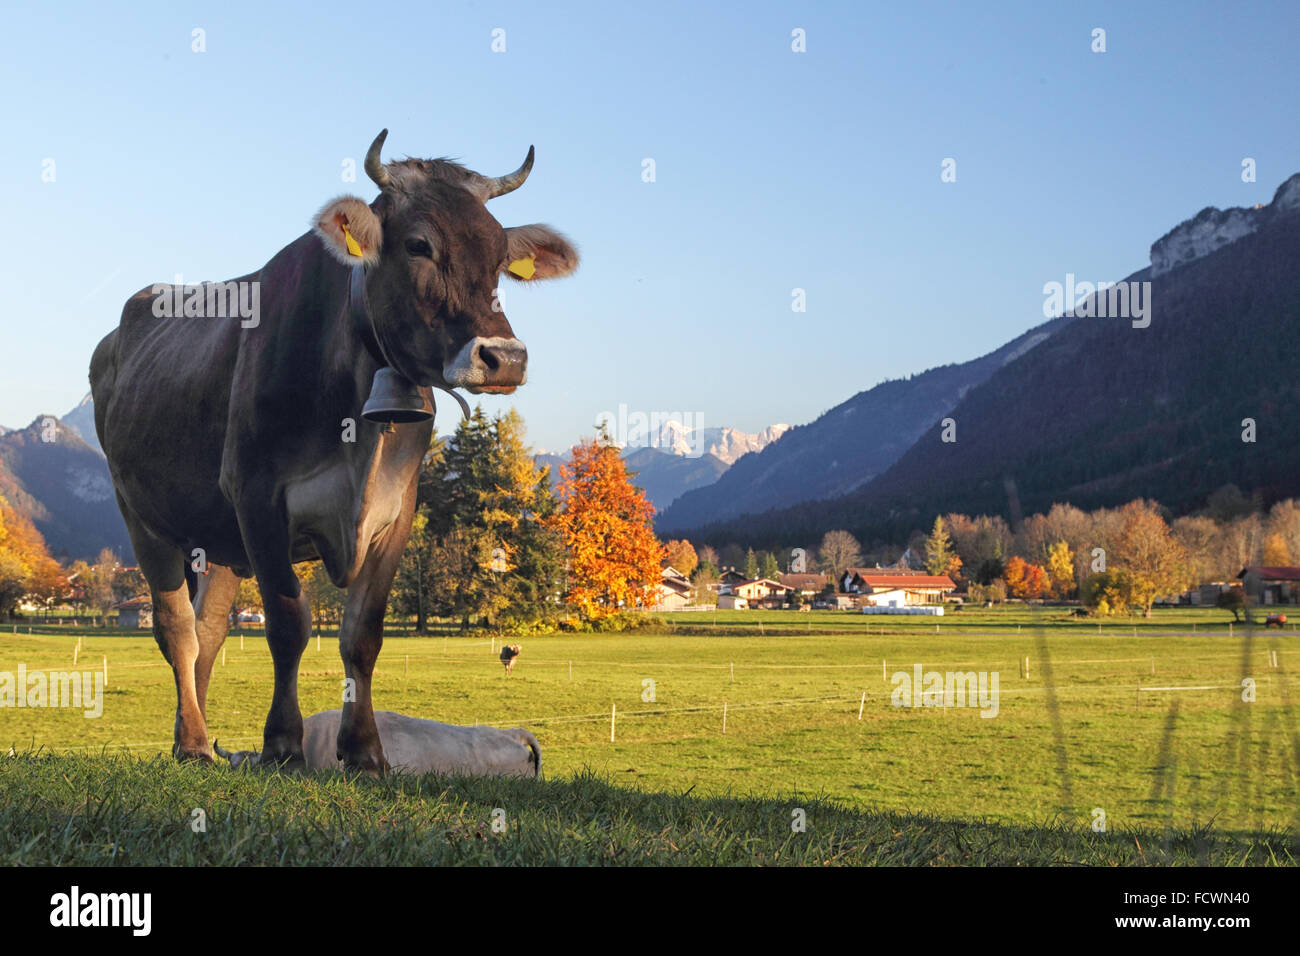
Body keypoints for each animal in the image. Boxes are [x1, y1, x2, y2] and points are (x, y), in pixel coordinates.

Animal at [90, 130, 578, 772]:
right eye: (419, 244)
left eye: (501, 256)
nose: (505, 358)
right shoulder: (257, 497)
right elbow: (288, 624)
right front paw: (282, 744)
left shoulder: (398, 511)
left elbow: (361, 634)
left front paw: (365, 750)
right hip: (141, 515)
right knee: (177, 629)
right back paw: (195, 742)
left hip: (216, 538)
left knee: (209, 632)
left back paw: (189, 739)